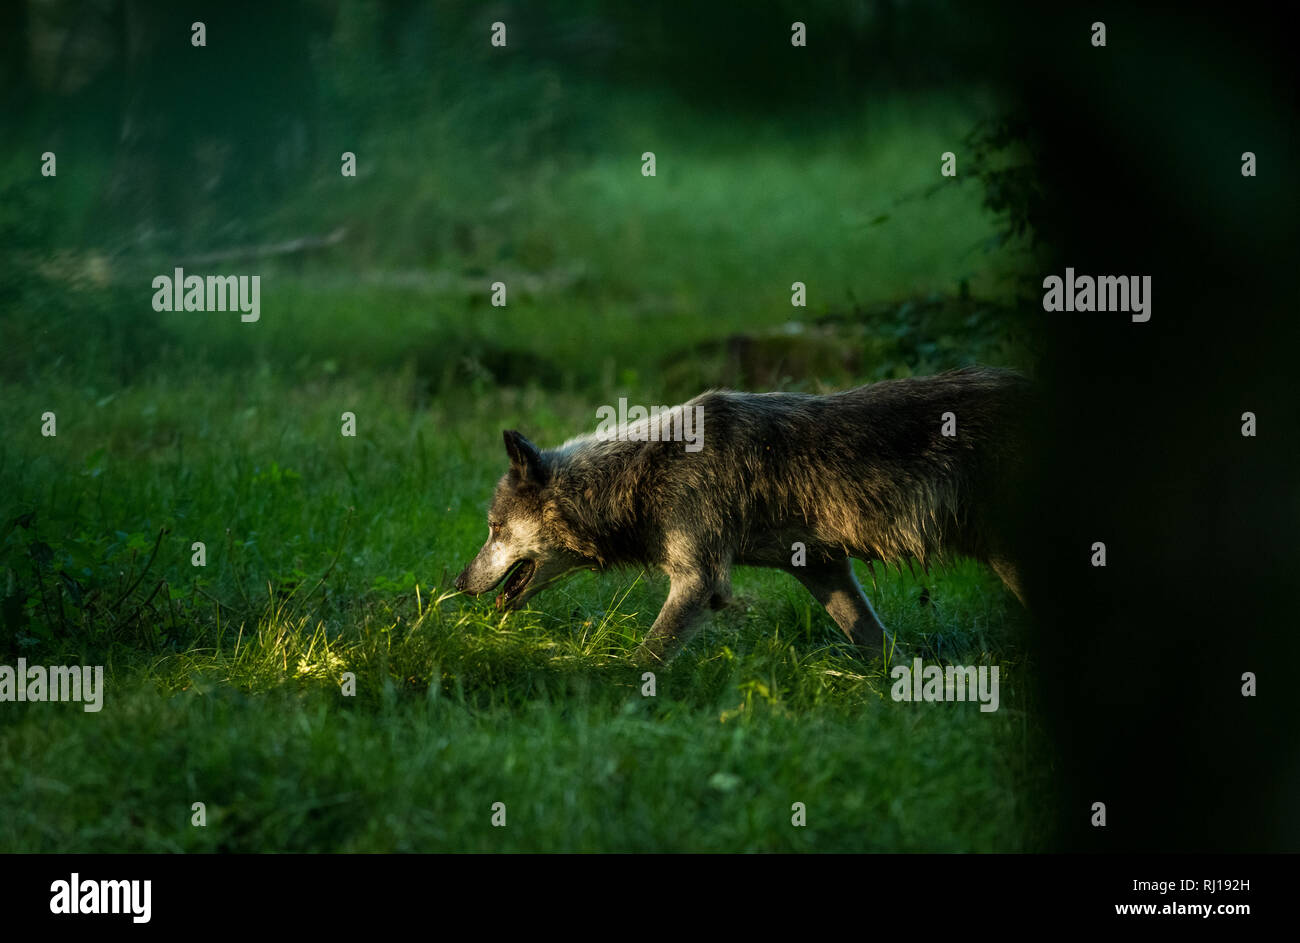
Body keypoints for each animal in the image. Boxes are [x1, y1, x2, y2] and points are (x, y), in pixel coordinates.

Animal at [454, 366, 1029, 664]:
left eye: (494, 529)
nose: (458, 583)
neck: (643, 473)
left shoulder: (700, 581)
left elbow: (645, 658)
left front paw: (607, 694)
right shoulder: (822, 568)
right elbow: (876, 643)